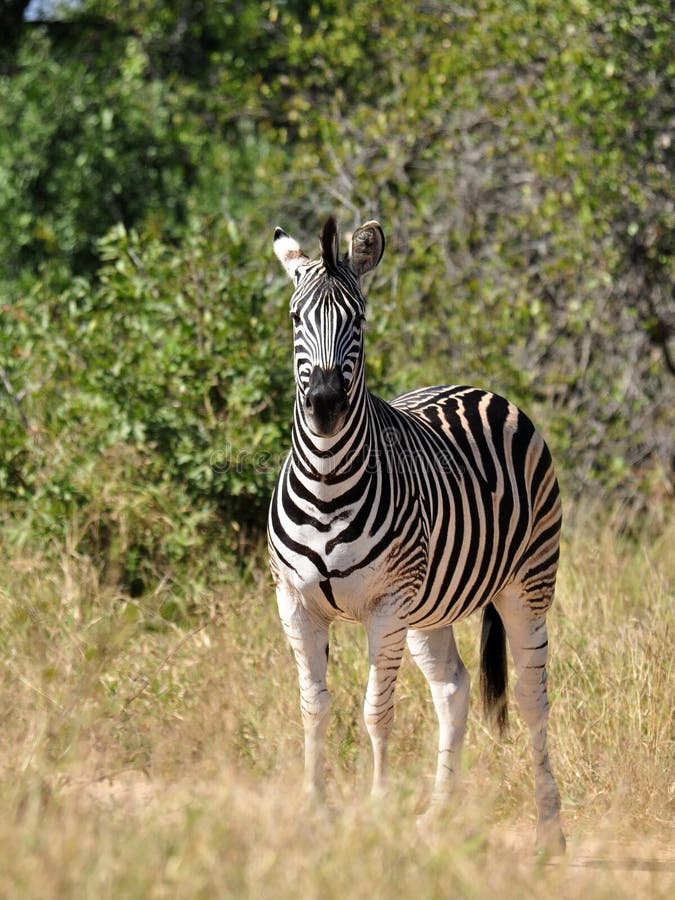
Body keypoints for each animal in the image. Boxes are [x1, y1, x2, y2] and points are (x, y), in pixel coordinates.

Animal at [268, 216, 565, 854]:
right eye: (296, 319)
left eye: (357, 320)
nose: (324, 406)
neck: (328, 483)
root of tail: (481, 388)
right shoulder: (294, 602)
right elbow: (313, 708)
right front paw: (314, 809)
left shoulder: (387, 605)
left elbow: (376, 712)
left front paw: (378, 811)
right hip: (430, 608)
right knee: (453, 689)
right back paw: (438, 813)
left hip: (527, 584)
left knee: (533, 701)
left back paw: (549, 832)